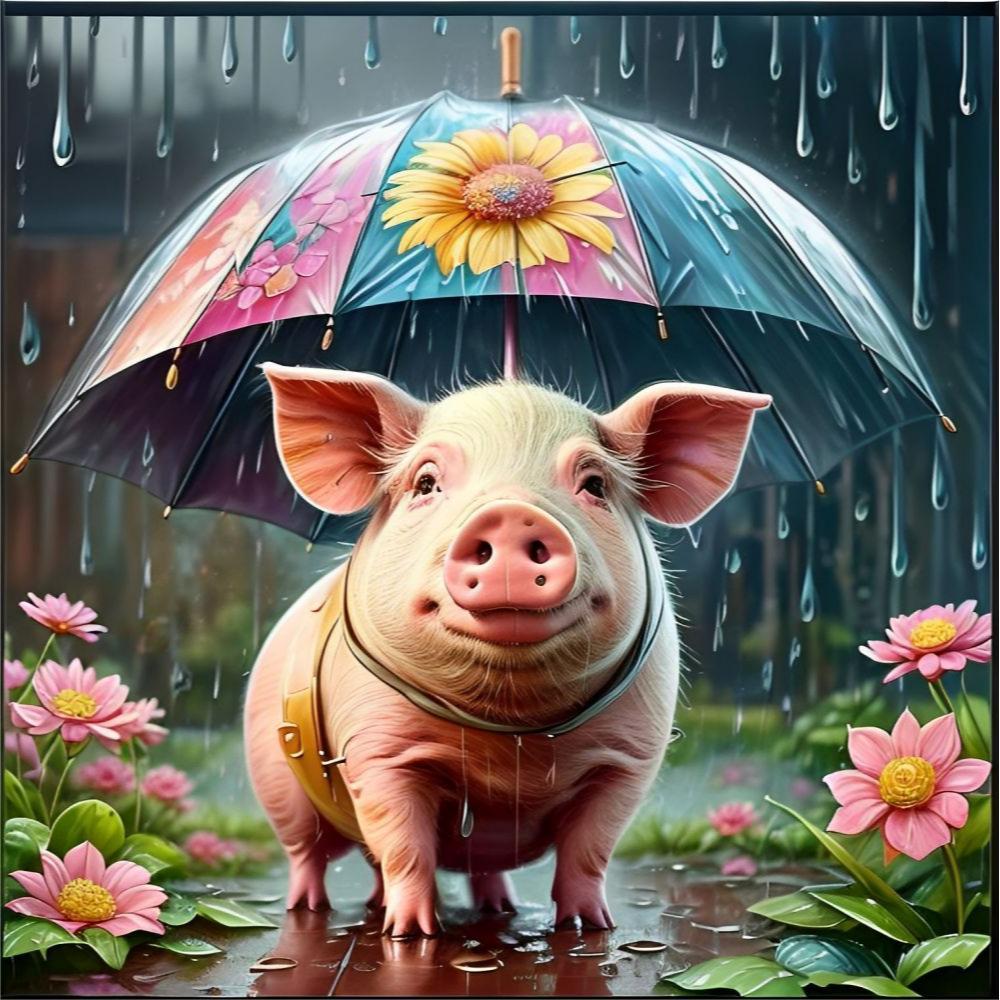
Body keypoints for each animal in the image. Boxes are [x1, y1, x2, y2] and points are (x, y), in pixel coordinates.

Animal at [245, 364, 770, 936]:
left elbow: (591, 849)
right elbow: (404, 845)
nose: (511, 515)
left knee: (466, 865)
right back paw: (314, 910)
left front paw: (591, 927)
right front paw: (412, 933)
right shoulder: (377, 749)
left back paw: (499, 910)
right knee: (309, 852)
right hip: (277, 782)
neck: (510, 727)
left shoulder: (630, 758)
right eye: (426, 483)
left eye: (594, 484)